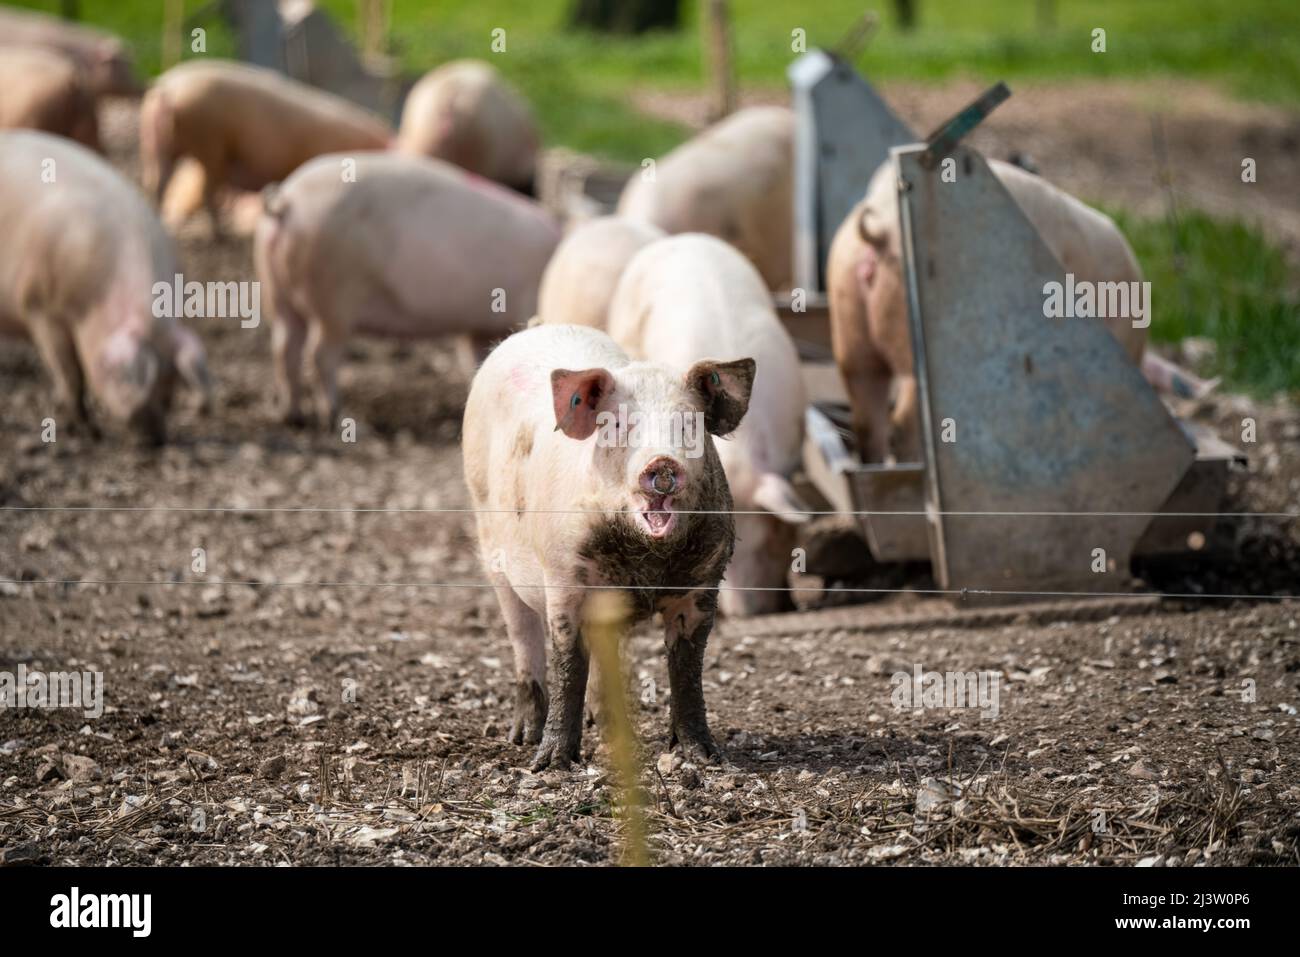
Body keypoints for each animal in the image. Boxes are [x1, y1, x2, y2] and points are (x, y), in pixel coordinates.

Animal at [0, 131, 195, 442]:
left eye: (170, 389)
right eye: (132, 379)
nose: (156, 439)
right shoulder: (41, 306)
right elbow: (71, 373)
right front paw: (88, 432)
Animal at [139, 60, 392, 237]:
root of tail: (166, 90)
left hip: (158, 145)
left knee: (156, 184)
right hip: (209, 145)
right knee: (206, 192)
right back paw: (221, 235)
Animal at [254, 151, 561, 428]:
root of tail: (286, 200)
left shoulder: (478, 329)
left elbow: (477, 359)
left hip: (275, 292)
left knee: (284, 347)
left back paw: (291, 416)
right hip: (331, 296)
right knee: (319, 355)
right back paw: (336, 418)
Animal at [463, 323, 755, 768]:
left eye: (689, 426)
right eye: (617, 425)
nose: (662, 463)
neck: (646, 563)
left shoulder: (704, 583)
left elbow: (687, 669)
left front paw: (706, 757)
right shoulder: (562, 578)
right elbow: (568, 665)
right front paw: (552, 764)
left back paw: (611, 728)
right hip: (489, 542)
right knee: (523, 637)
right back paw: (524, 737)